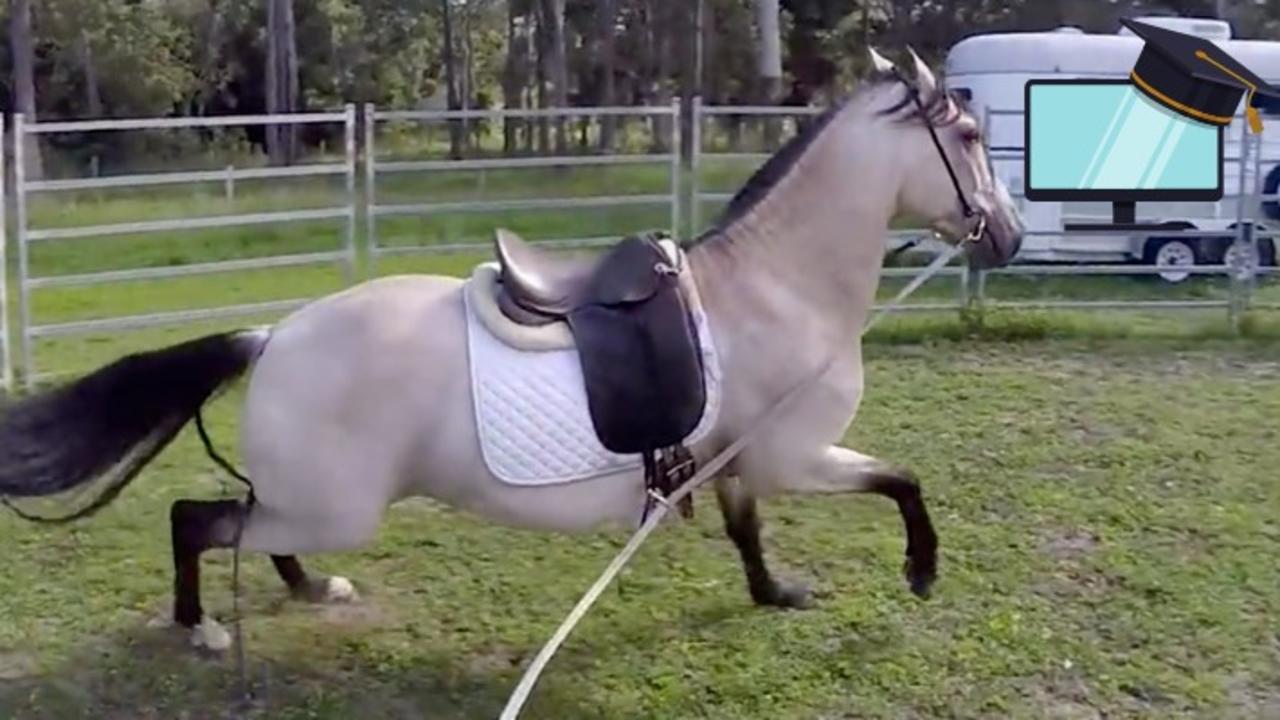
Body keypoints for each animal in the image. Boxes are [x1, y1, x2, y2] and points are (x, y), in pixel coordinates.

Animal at [0, 50, 1024, 652]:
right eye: (972, 134)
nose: (1008, 235)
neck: (776, 288)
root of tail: (274, 337)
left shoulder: (738, 462)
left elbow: (747, 531)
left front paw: (777, 594)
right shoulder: (795, 455)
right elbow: (901, 481)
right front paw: (922, 571)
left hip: (311, 503)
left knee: (251, 530)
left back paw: (311, 590)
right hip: (334, 506)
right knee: (199, 522)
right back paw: (202, 627)